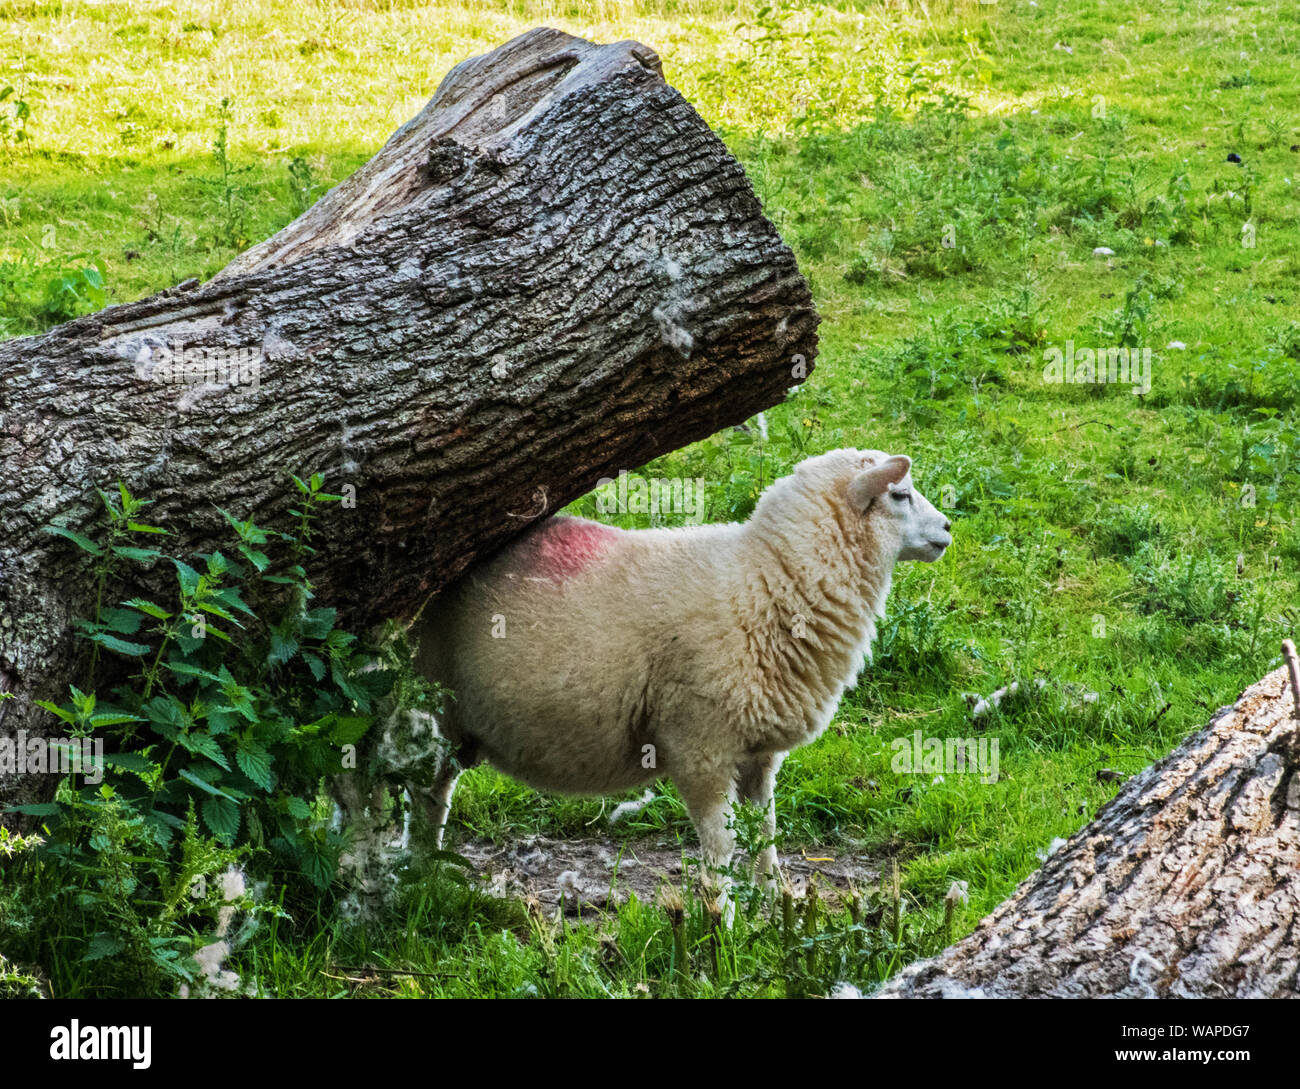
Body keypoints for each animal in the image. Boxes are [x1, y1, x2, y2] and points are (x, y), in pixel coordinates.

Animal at [408, 448, 952, 918]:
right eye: (899, 494)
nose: (948, 527)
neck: (765, 582)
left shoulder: (757, 753)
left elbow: (767, 831)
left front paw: (773, 901)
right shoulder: (700, 746)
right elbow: (722, 843)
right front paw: (723, 919)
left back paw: (425, 873)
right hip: (429, 705)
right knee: (423, 795)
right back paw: (414, 875)